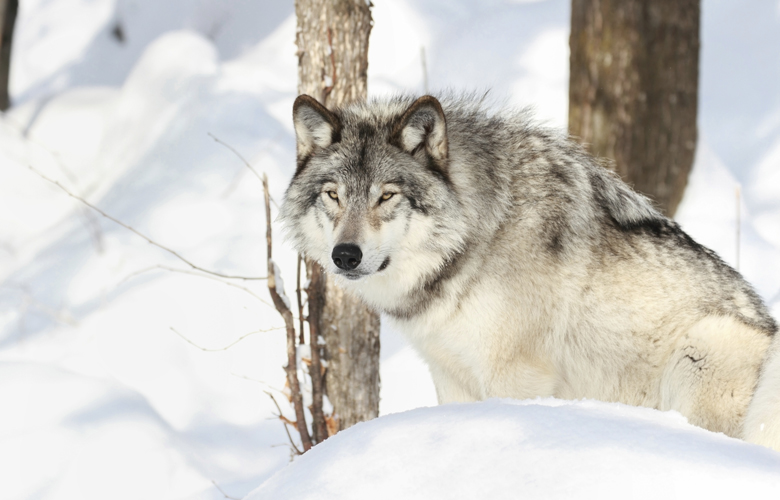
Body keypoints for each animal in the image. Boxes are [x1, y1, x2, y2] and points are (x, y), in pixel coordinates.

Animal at [280, 93, 780, 451]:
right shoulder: (450, 375)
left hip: (703, 350)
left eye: (386, 196)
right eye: (333, 195)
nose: (345, 255)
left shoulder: (515, 377)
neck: (475, 240)